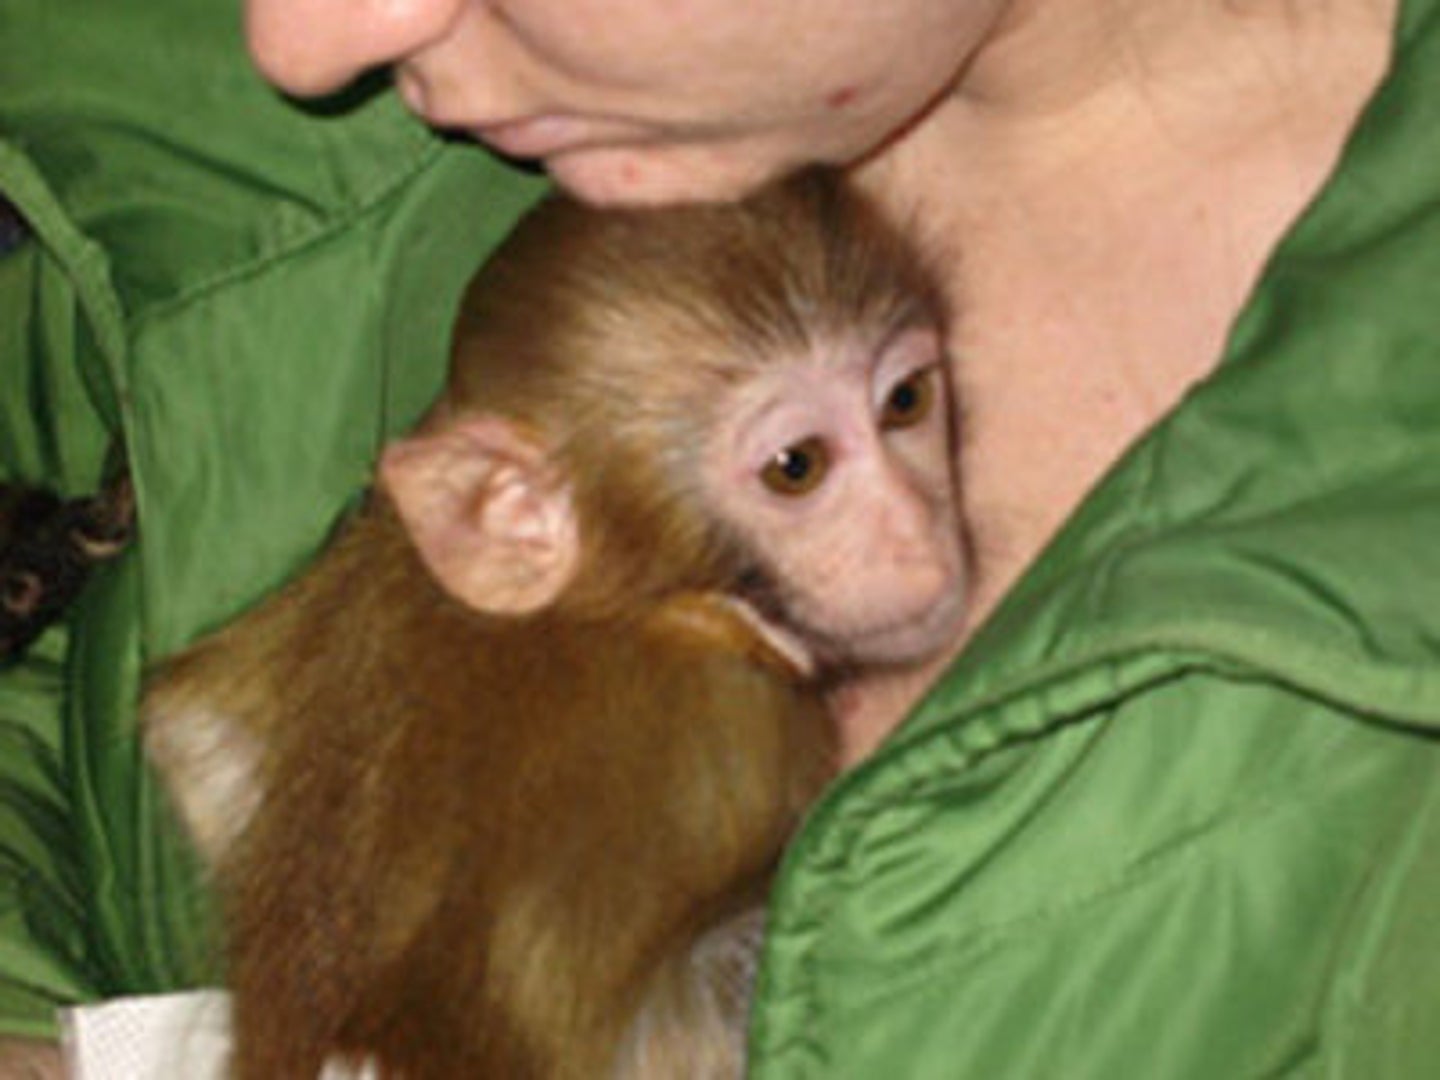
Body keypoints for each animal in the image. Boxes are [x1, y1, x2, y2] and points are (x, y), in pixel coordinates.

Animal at [142, 169, 968, 1079]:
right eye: (798, 467)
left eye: (905, 402)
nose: (919, 536)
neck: (601, 613)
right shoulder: (731, 724)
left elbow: (182, 729)